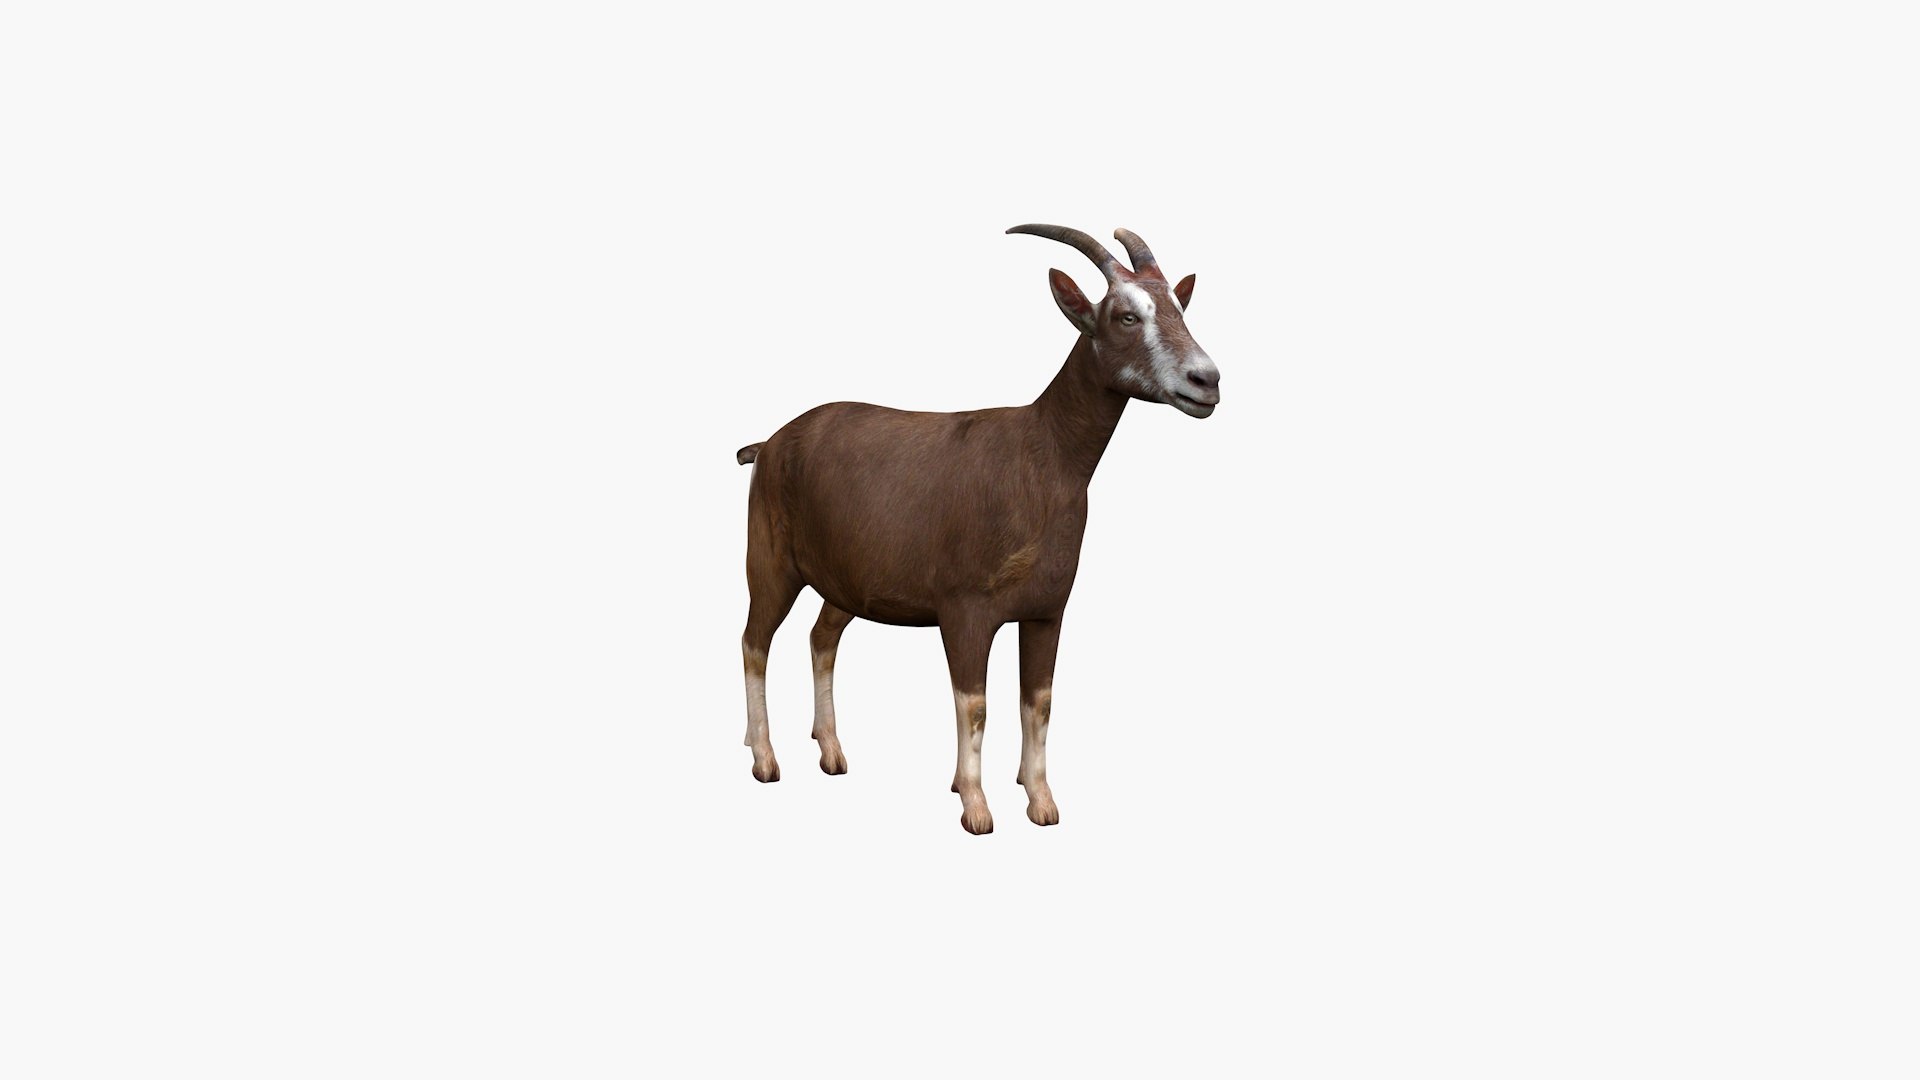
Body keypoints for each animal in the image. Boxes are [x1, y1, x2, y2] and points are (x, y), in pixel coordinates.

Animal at [735, 224, 1221, 834]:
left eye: (1180, 307)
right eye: (1125, 315)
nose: (1207, 380)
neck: (1042, 457)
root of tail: (767, 445)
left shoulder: (1045, 610)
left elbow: (1039, 702)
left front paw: (1041, 802)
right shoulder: (965, 610)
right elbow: (976, 705)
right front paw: (975, 806)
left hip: (844, 578)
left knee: (822, 639)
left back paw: (831, 752)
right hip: (770, 561)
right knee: (754, 641)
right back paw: (764, 759)